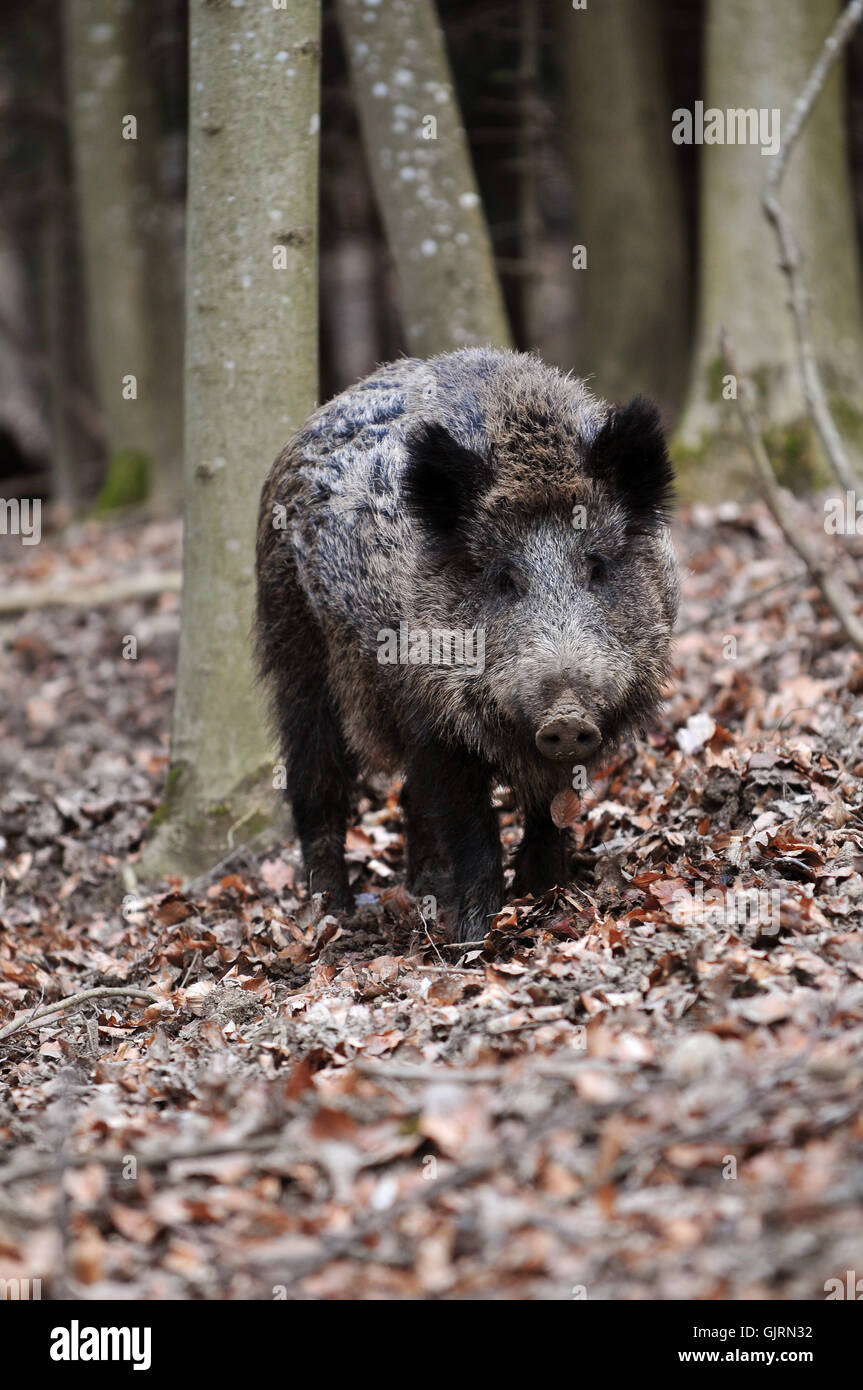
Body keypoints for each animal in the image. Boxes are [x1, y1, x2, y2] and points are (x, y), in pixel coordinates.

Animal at [255, 349, 678, 941]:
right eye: (504, 577)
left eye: (596, 567)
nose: (566, 716)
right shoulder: (433, 713)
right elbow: (470, 824)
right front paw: (476, 933)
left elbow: (551, 808)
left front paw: (545, 893)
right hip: (293, 641)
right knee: (316, 778)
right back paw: (332, 912)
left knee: (408, 795)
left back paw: (423, 891)